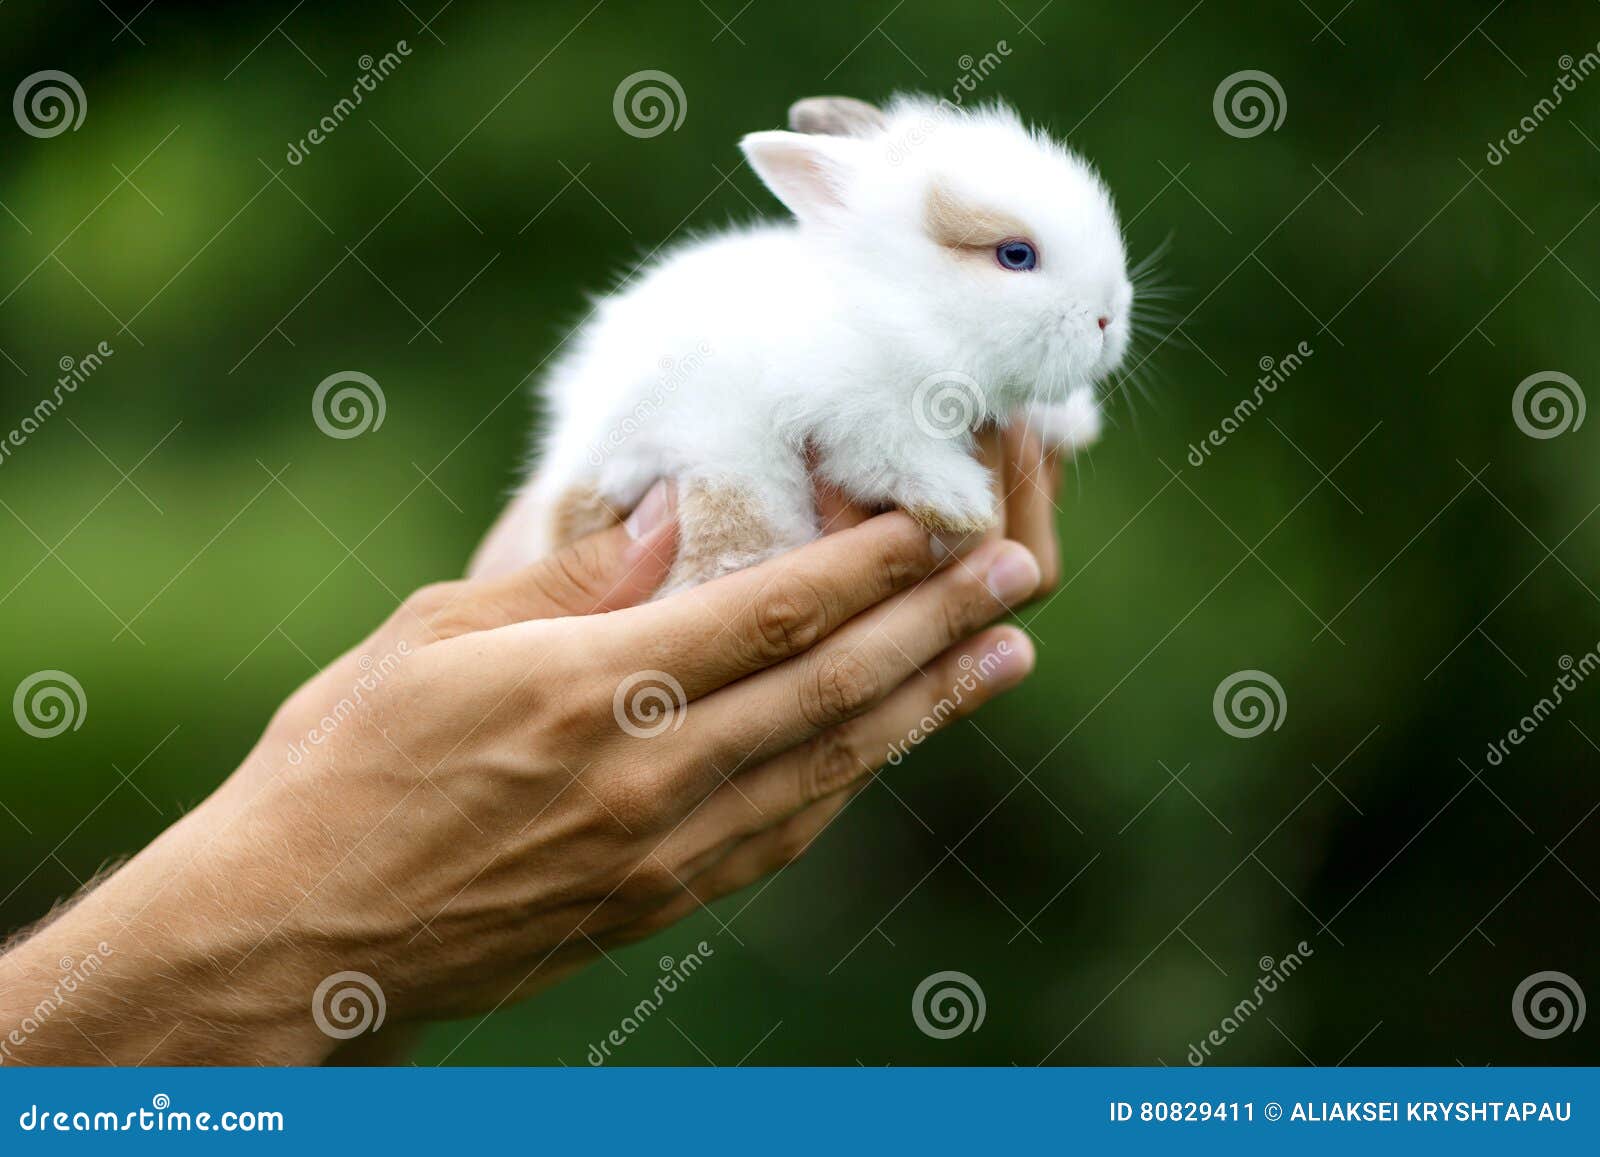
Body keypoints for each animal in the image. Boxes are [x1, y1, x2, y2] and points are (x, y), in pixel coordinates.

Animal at [482, 93, 1133, 592]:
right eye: (1015, 255)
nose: (1109, 318)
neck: (896, 304)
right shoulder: (852, 407)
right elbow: (887, 457)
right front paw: (960, 503)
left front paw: (1073, 423)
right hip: (726, 466)